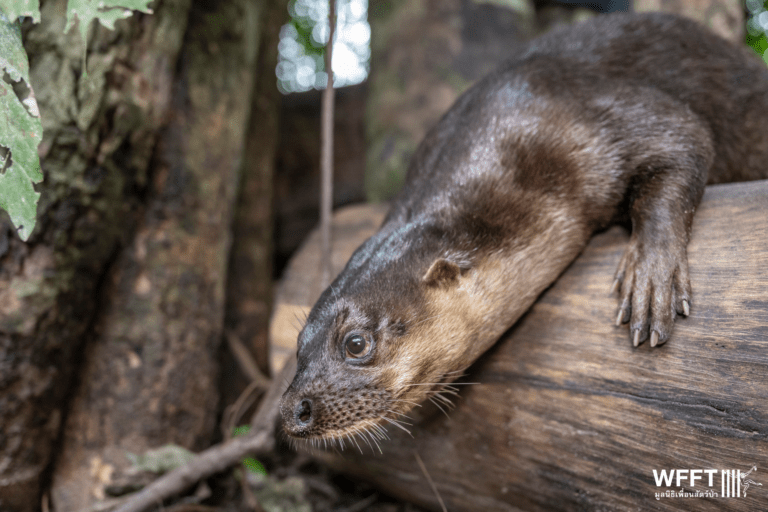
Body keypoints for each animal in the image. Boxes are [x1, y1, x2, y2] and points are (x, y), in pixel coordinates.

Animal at [280, 12, 768, 444]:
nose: (292, 410)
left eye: (355, 343)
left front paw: (652, 274)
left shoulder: (580, 114)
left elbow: (685, 135)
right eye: (299, 347)